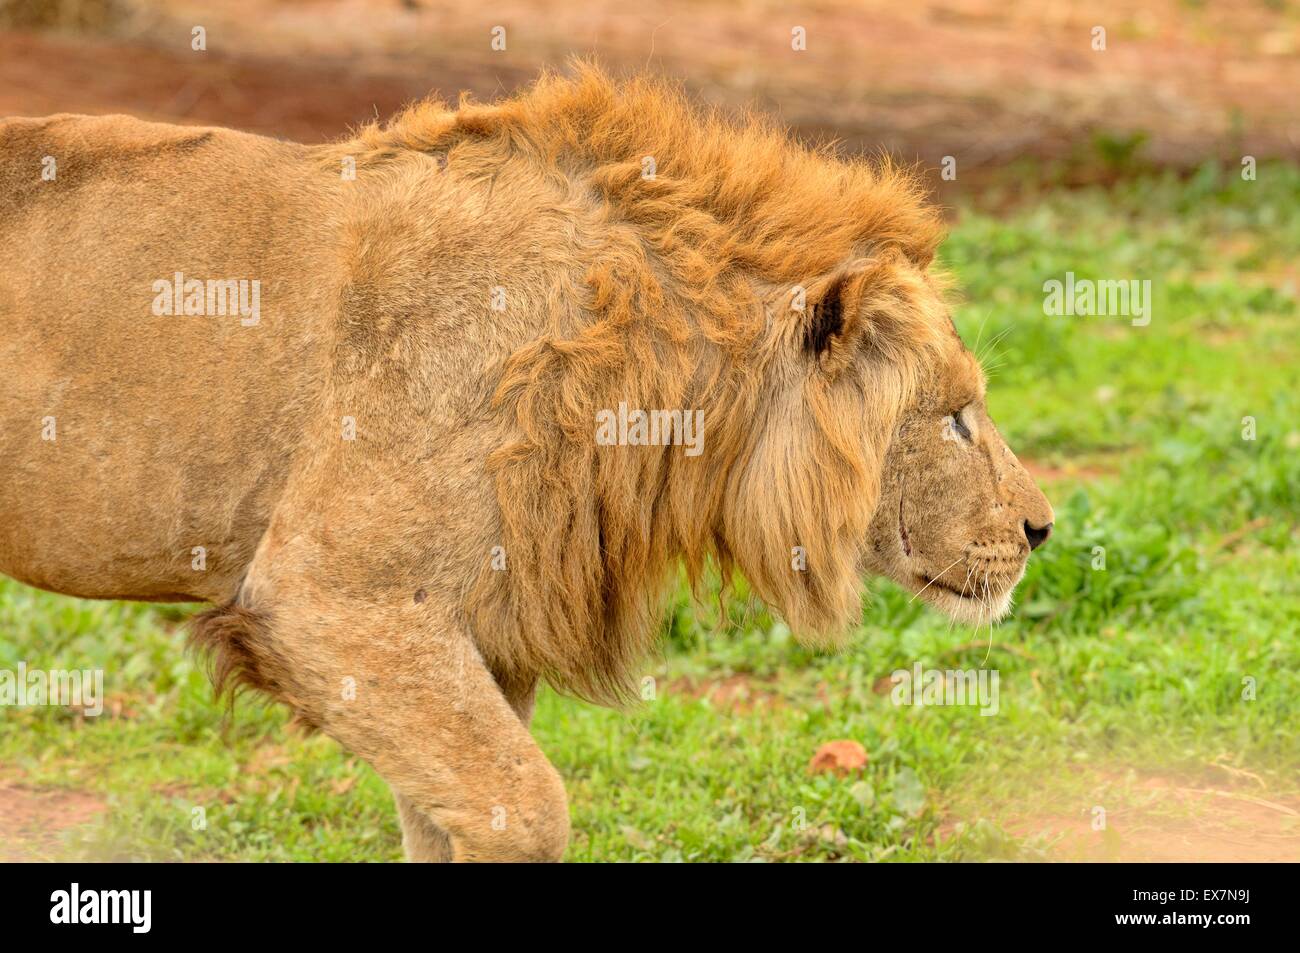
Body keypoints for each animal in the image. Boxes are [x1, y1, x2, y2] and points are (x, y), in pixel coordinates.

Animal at [0, 65, 1053, 862]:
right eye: (956, 418)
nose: (1042, 528)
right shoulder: (332, 603)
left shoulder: (471, 627)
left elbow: (450, 817)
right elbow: (529, 805)